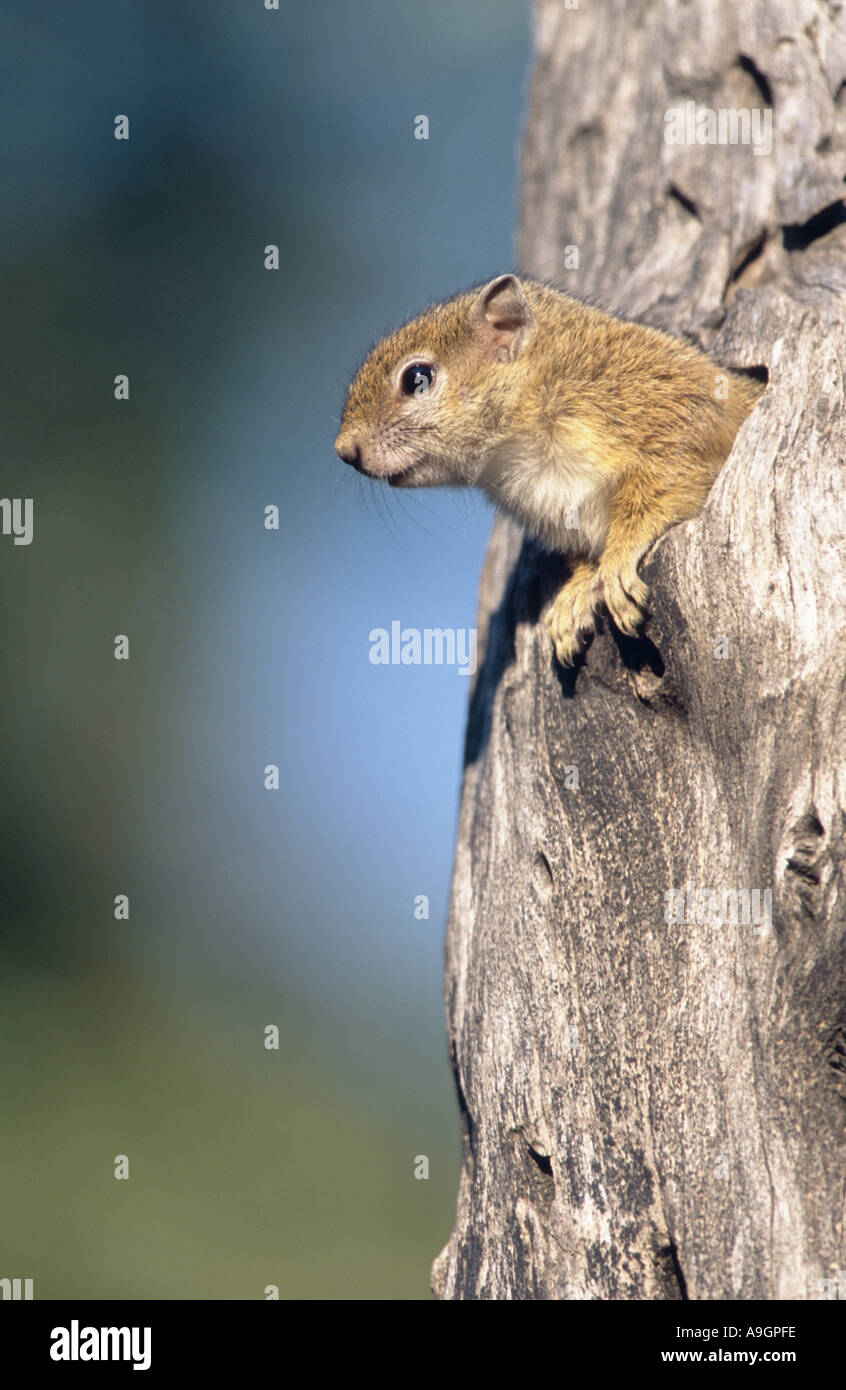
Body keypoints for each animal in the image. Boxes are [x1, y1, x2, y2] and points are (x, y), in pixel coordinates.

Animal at [335, 274, 763, 666]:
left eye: (417, 378)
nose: (345, 450)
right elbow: (585, 558)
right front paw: (575, 595)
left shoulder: (664, 418)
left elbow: (662, 488)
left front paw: (617, 563)